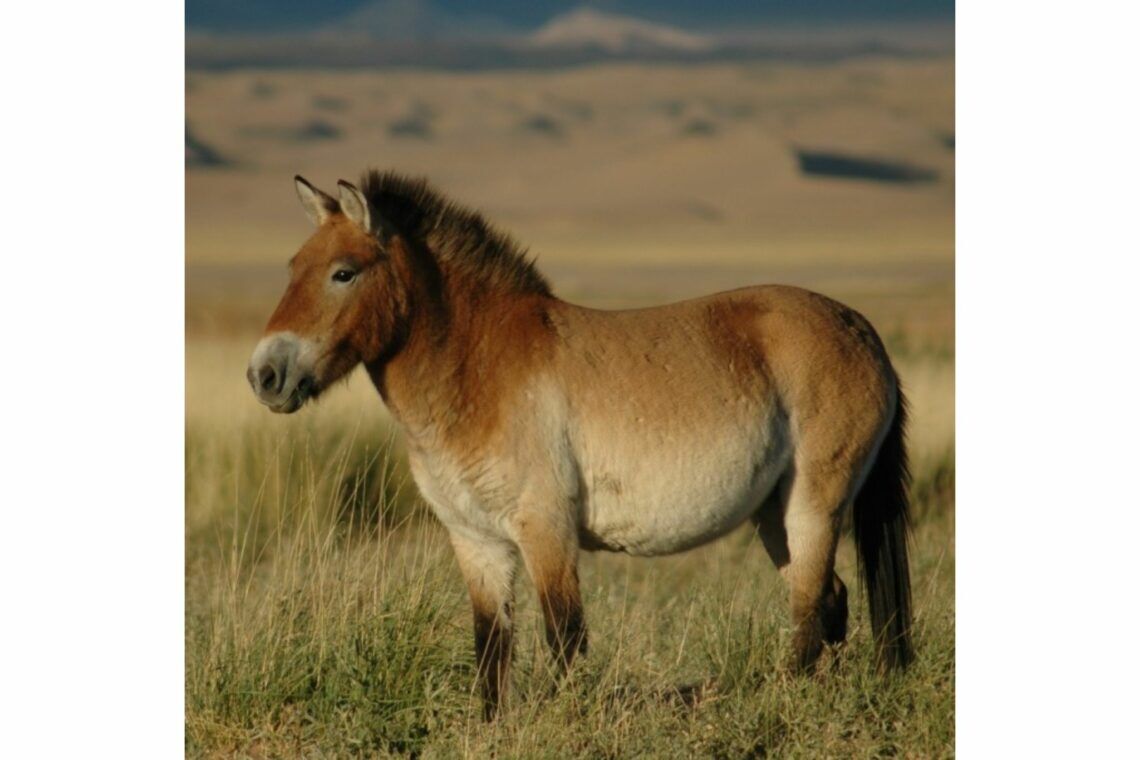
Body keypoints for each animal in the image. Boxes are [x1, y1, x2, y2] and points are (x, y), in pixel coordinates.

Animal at [247, 170, 913, 718]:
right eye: (291, 267)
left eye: (344, 272)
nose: (265, 375)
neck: (477, 369)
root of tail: (861, 330)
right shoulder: (476, 540)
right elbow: (491, 647)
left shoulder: (546, 529)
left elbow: (564, 637)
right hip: (774, 514)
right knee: (829, 600)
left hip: (813, 506)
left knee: (810, 611)